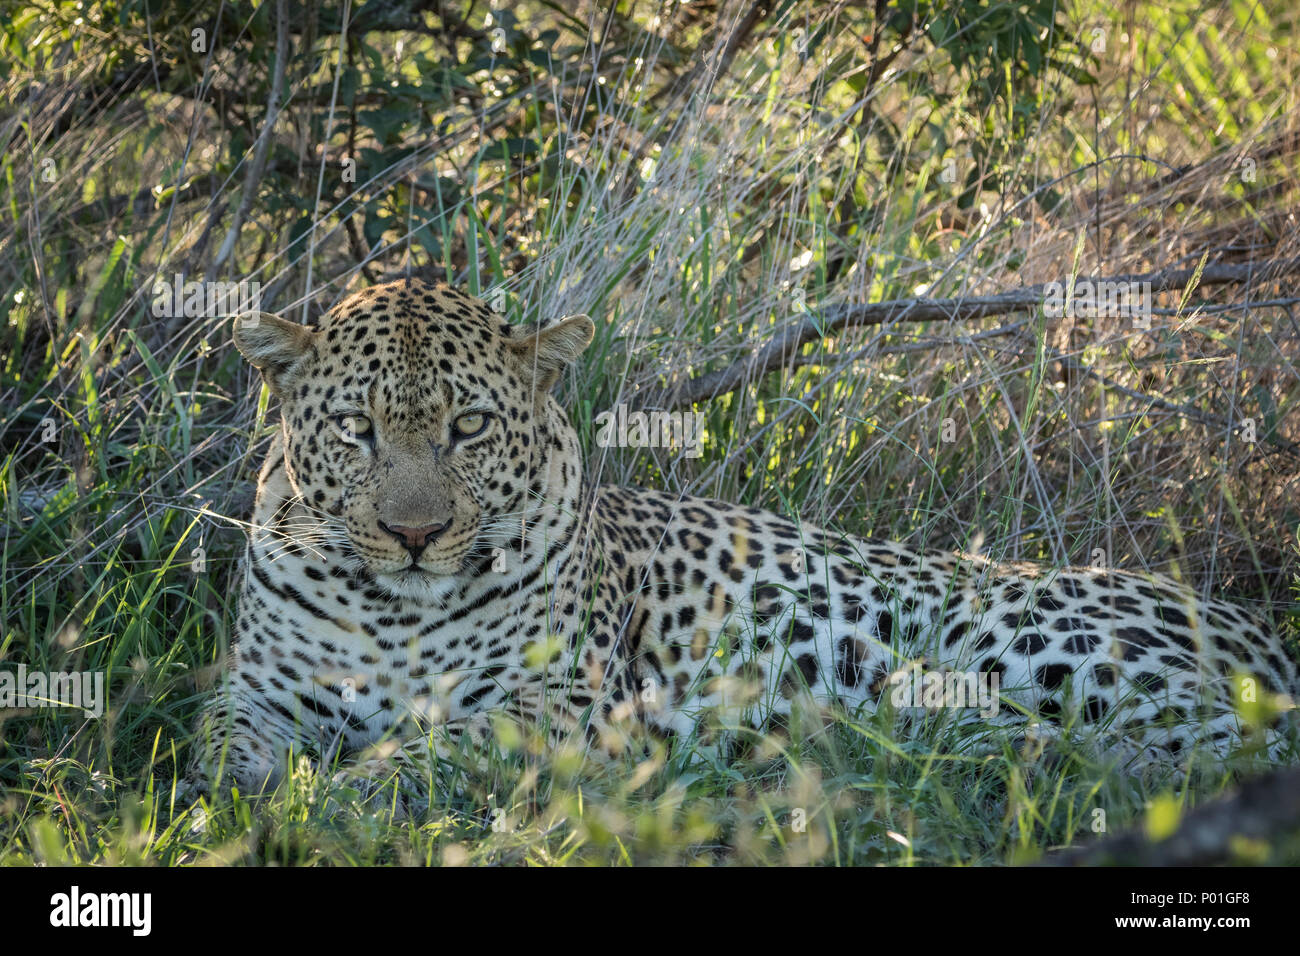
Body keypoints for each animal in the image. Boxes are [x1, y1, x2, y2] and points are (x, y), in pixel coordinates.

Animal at [184, 278, 1297, 802]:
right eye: (355, 429)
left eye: (468, 428)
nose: (413, 534)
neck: (392, 612)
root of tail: (1265, 628)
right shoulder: (258, 688)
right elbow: (220, 748)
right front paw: (237, 799)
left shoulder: (559, 704)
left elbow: (433, 746)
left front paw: (344, 791)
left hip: (1042, 642)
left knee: (1228, 747)